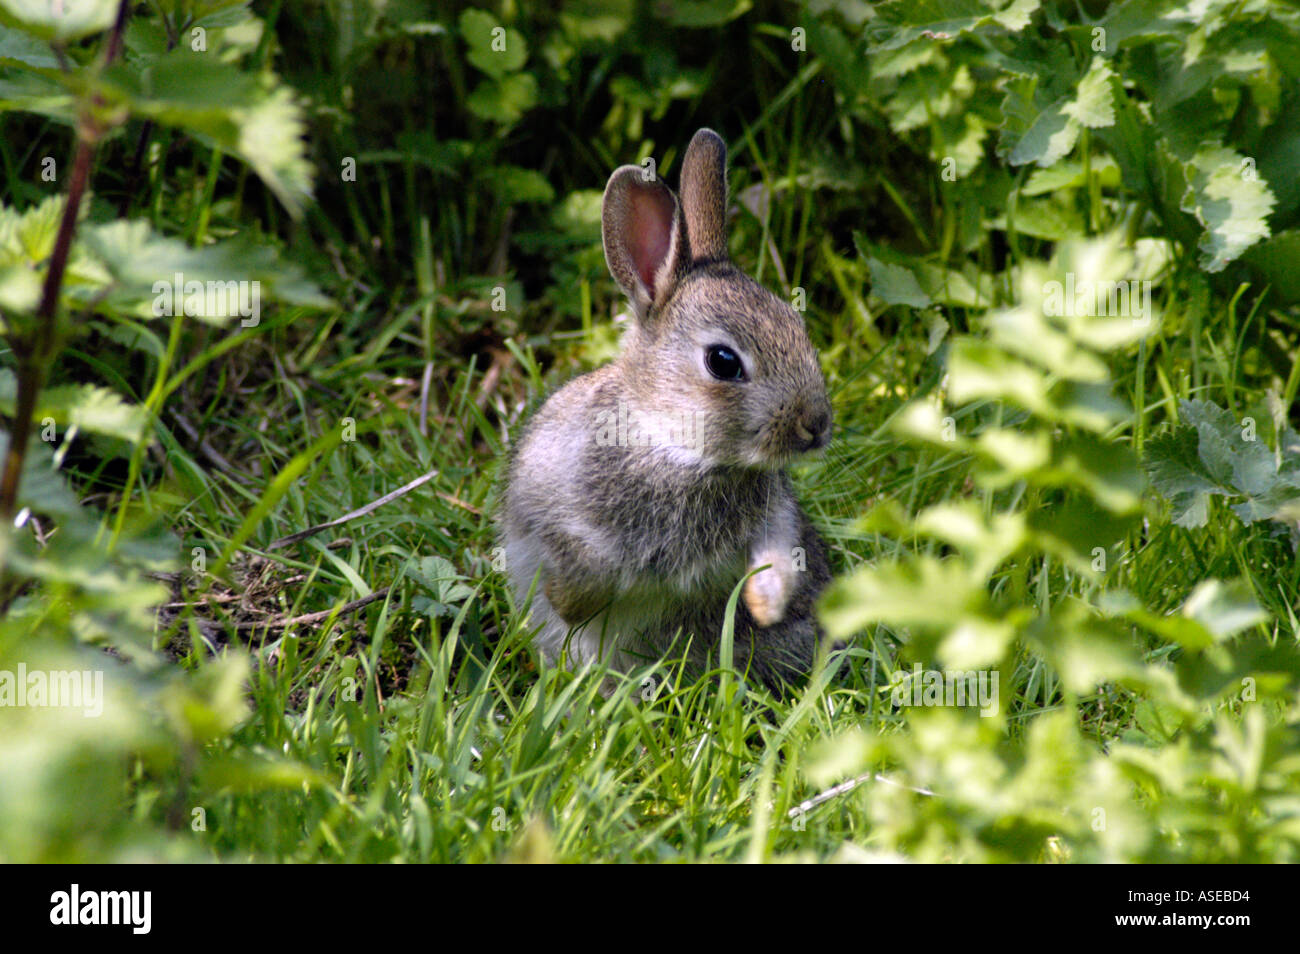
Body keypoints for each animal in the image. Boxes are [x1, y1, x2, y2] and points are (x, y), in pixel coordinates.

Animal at [500, 128, 834, 691]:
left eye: (798, 325)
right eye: (723, 361)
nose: (816, 426)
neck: (676, 449)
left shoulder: (772, 515)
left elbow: (778, 553)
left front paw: (764, 605)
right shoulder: (557, 510)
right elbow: (575, 565)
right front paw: (570, 603)